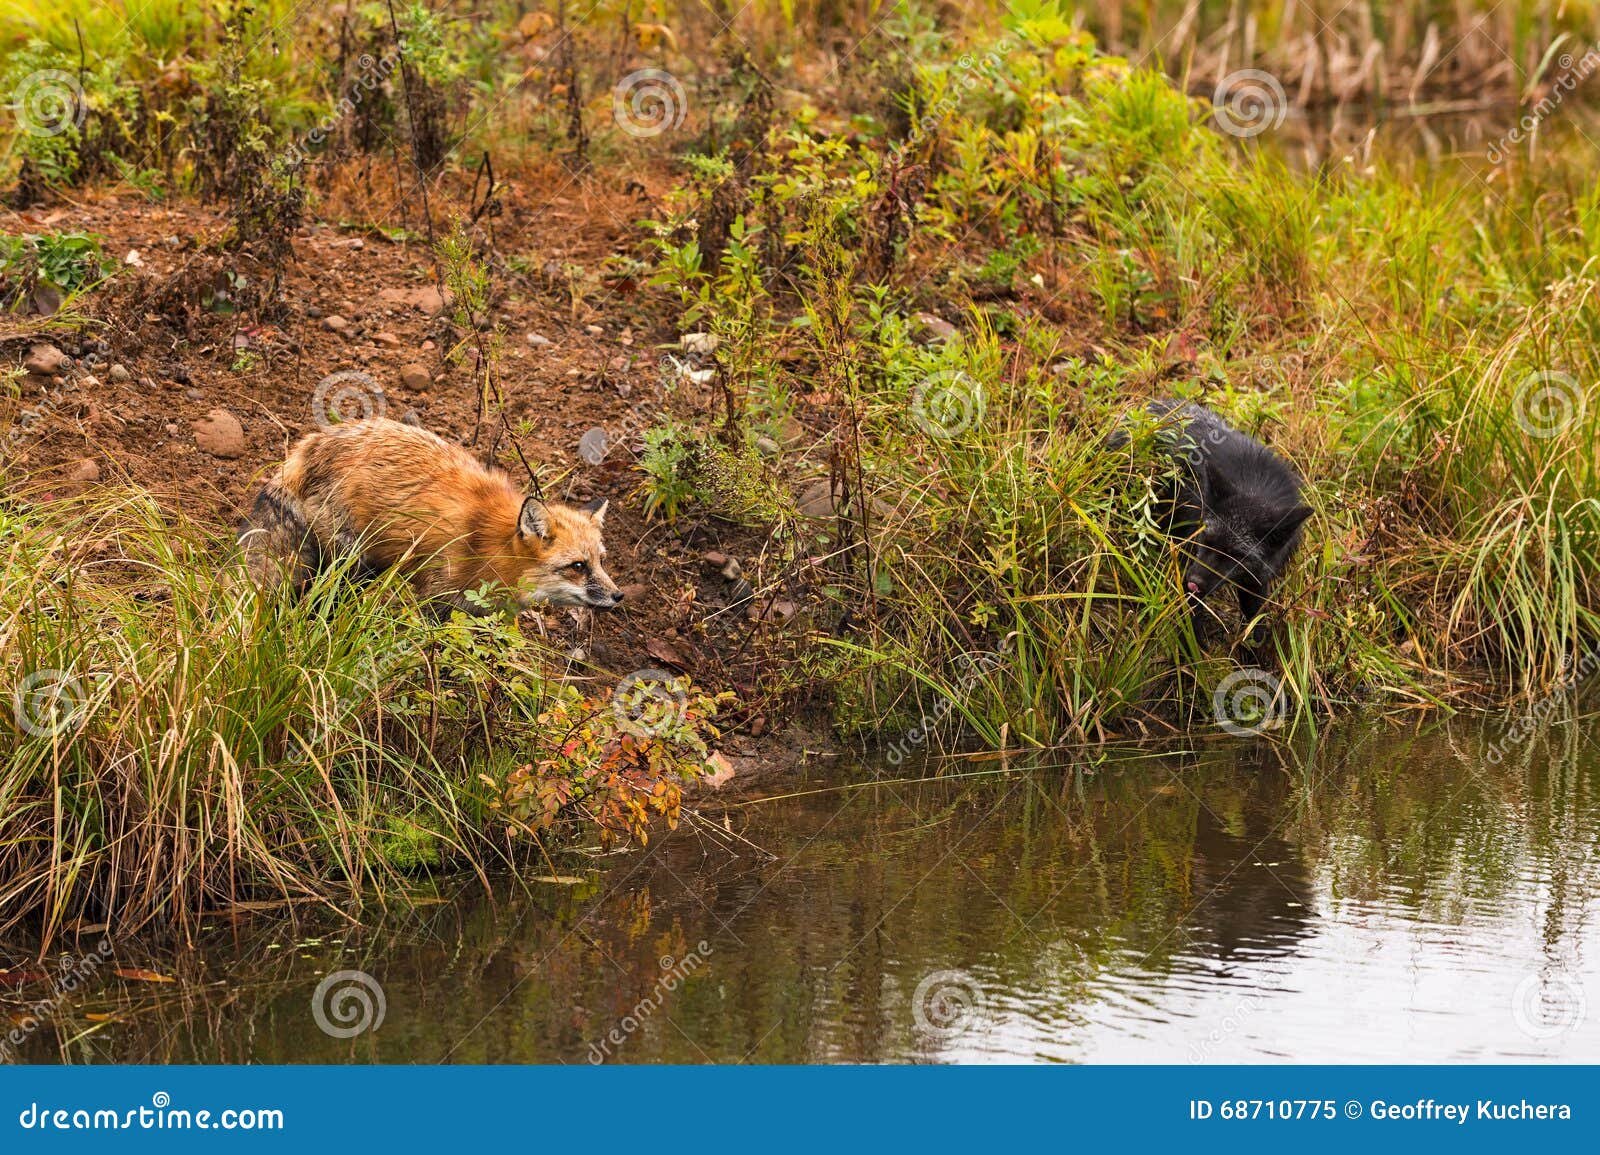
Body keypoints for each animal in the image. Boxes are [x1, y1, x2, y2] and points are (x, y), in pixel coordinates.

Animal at [239, 416, 624, 614]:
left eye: (601, 561)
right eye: (578, 566)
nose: (619, 596)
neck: (489, 545)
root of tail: (310, 443)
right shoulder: (434, 595)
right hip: (351, 562)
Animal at [1119, 399, 1312, 637]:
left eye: (1236, 554)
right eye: (1206, 540)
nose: (1193, 583)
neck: (1255, 486)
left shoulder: (1258, 576)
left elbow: (1256, 620)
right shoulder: (1188, 549)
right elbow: (1191, 619)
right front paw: (1195, 645)